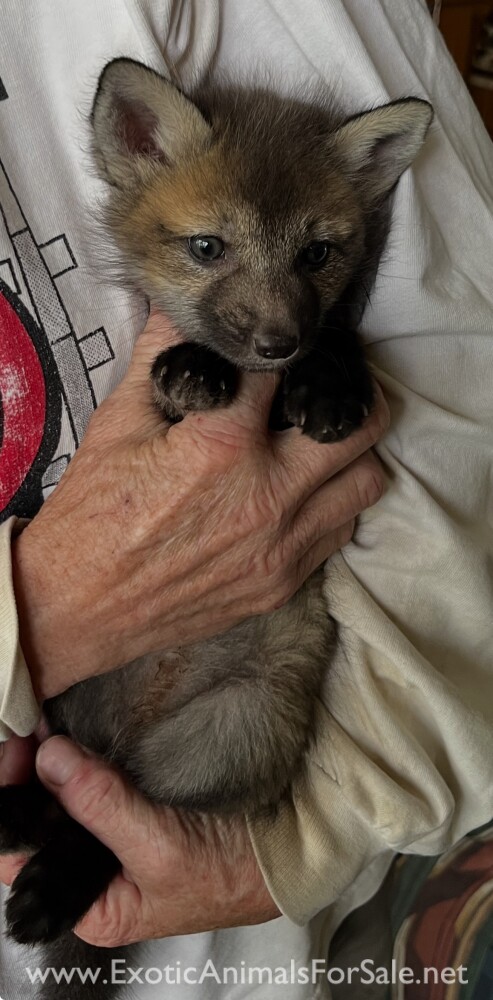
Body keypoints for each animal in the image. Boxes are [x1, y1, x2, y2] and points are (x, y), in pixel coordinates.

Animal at [0, 59, 432, 999]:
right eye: (207, 248)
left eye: (316, 254)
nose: (275, 343)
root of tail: (126, 733)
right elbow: (176, 380)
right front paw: (195, 366)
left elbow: (346, 343)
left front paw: (327, 385)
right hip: (71, 723)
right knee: (67, 802)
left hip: (221, 737)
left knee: (102, 825)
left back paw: (48, 884)